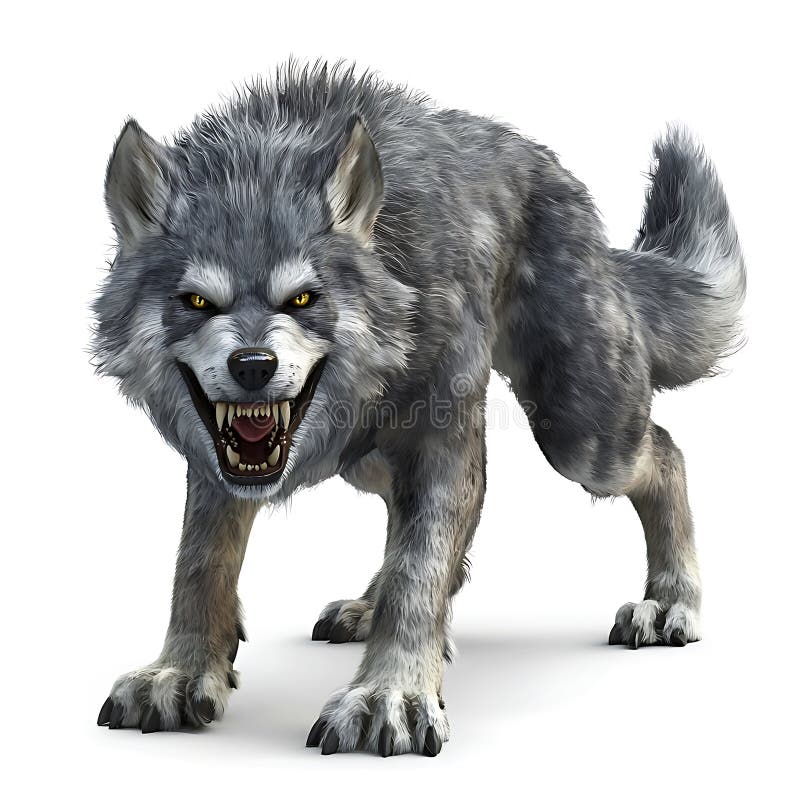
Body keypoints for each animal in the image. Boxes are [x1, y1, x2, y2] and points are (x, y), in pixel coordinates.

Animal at [93, 63, 745, 756]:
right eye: (195, 301)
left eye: (303, 299)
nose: (252, 366)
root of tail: (546, 163)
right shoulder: (219, 462)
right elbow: (199, 566)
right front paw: (180, 673)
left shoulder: (444, 442)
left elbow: (419, 569)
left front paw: (390, 696)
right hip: (370, 461)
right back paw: (367, 607)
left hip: (583, 437)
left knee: (666, 450)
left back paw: (670, 602)